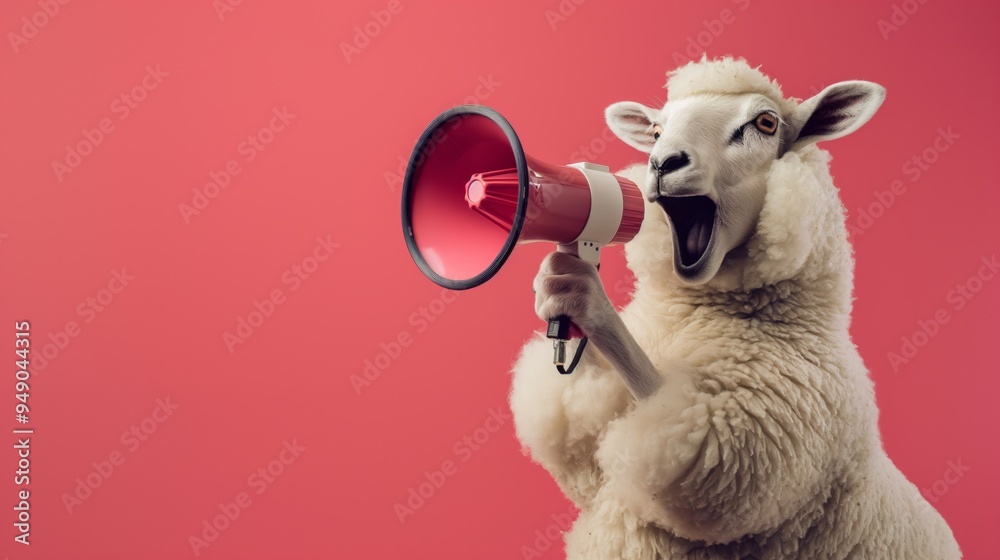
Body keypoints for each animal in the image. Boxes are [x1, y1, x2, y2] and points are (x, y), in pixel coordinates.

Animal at [508, 56, 961, 559]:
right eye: (657, 130)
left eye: (765, 123)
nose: (662, 163)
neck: (691, 316)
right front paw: (556, 294)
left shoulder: (747, 443)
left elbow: (696, 460)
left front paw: (589, 302)